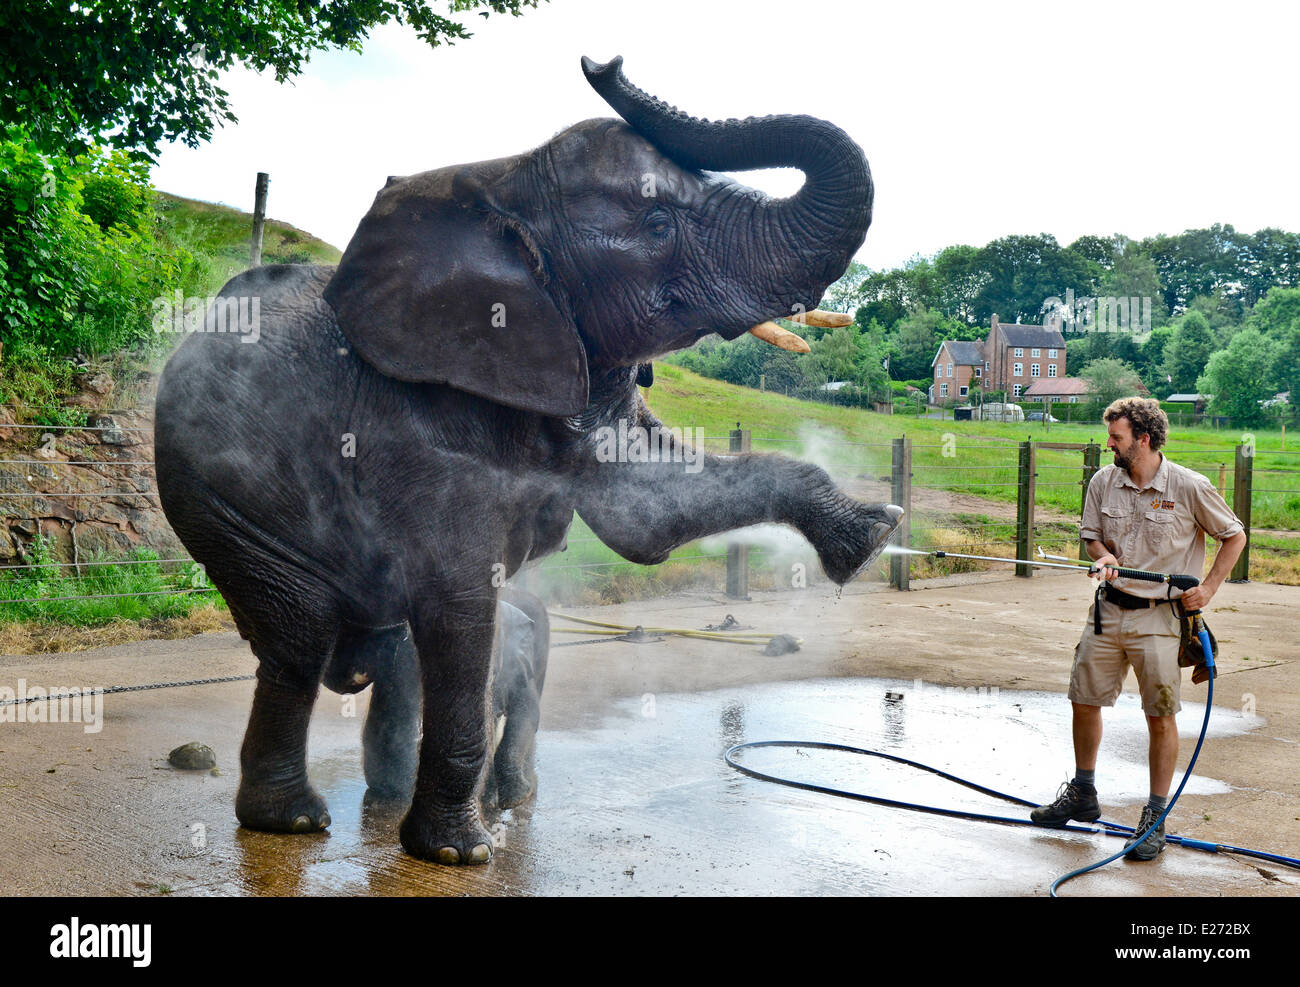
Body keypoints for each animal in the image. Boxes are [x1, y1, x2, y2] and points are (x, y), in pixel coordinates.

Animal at [153, 55, 903, 865]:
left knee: (379, 643)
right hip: (221, 500)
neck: (501, 181)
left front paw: (869, 534)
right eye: (658, 225)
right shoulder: (420, 418)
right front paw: (460, 854)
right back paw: (293, 822)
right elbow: (462, 599)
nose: (602, 61)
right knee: (298, 636)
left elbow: (647, 510)